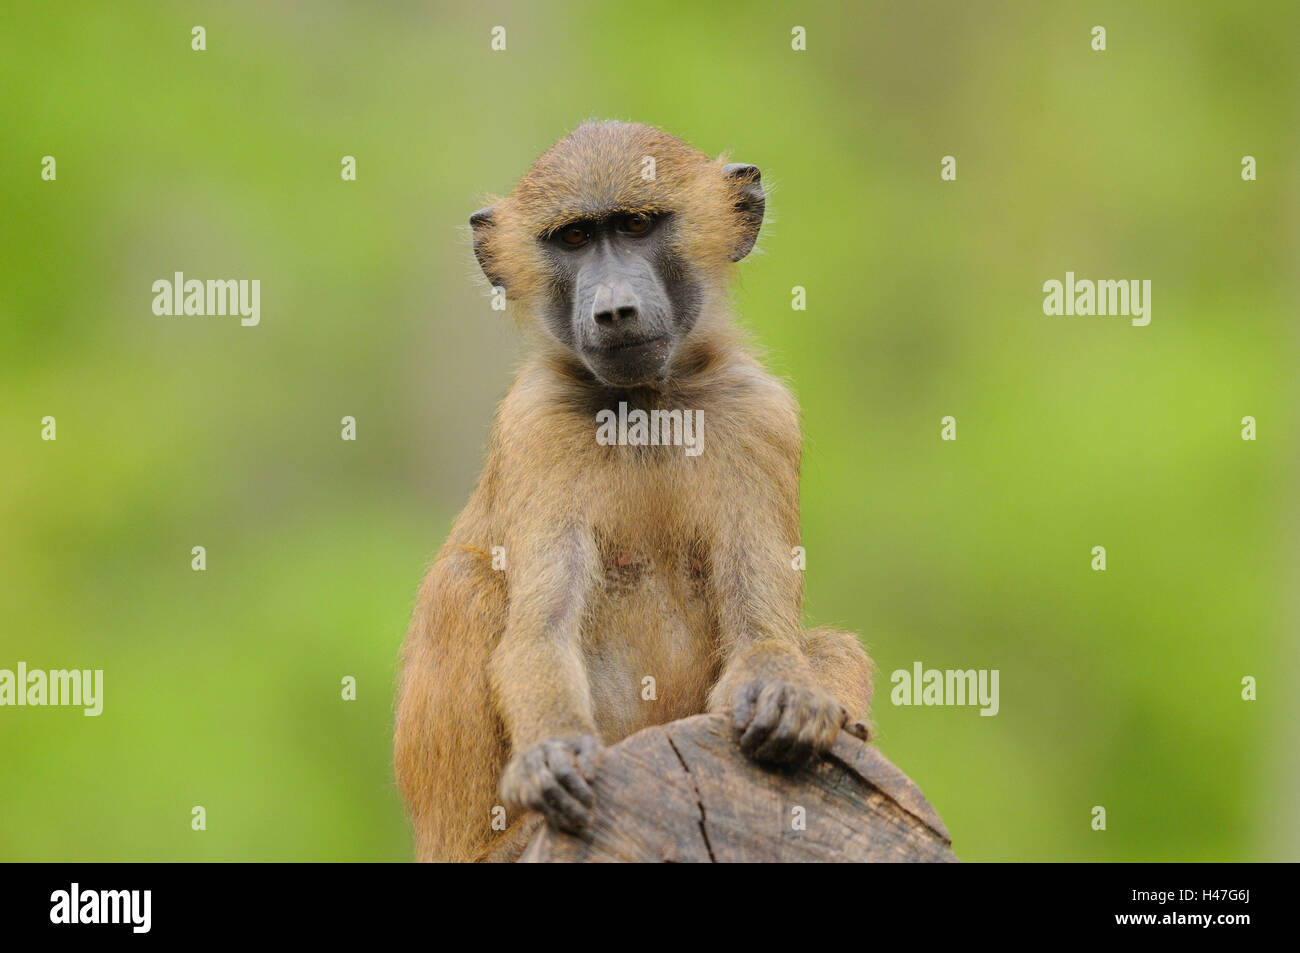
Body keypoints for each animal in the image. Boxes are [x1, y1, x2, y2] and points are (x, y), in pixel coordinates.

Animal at [394, 121, 873, 862]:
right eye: (572, 238)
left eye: (638, 224)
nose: (615, 309)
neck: (648, 403)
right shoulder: (534, 426)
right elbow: (540, 632)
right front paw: (551, 756)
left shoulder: (762, 415)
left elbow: (762, 633)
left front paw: (789, 703)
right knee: (462, 585)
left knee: (833, 647)